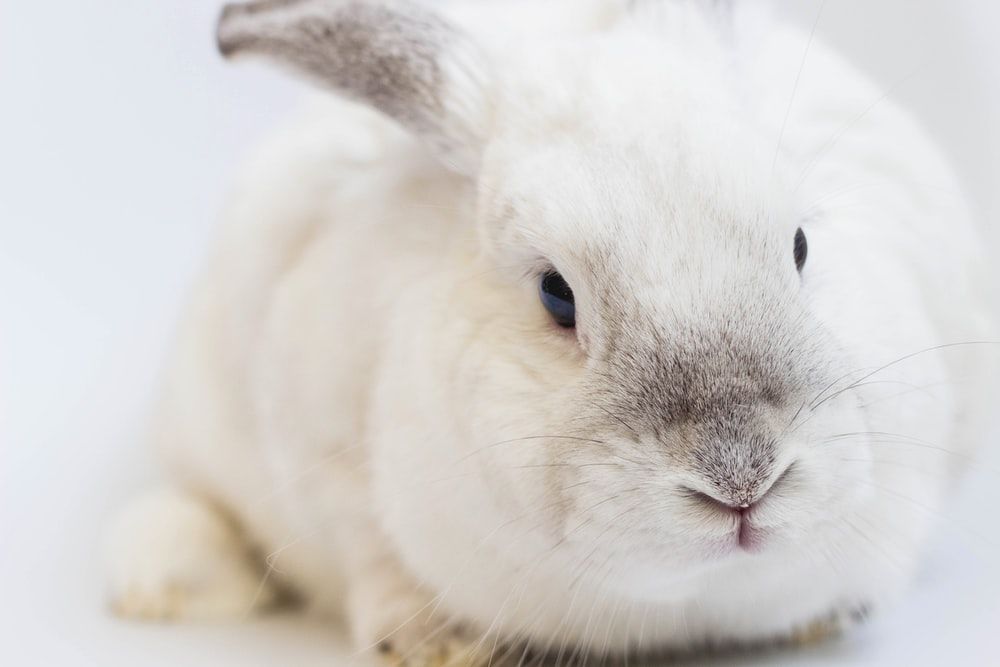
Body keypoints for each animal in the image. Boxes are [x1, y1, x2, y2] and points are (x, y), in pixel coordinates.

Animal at [106, 0, 997, 663]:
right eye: (556, 295)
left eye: (802, 245)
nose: (742, 476)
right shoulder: (319, 447)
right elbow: (370, 551)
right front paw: (435, 642)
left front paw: (828, 615)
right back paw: (158, 587)